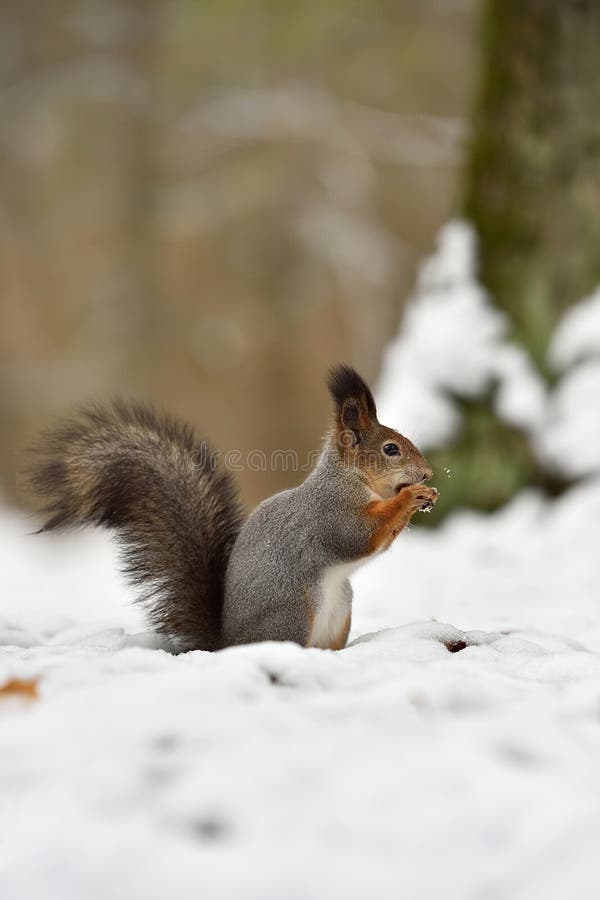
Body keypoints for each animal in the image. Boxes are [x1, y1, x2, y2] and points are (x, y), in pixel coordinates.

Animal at [27, 365, 438, 652]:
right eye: (390, 449)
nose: (428, 472)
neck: (351, 479)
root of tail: (226, 645)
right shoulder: (331, 513)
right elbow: (361, 537)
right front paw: (413, 496)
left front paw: (427, 494)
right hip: (293, 611)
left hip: (341, 607)